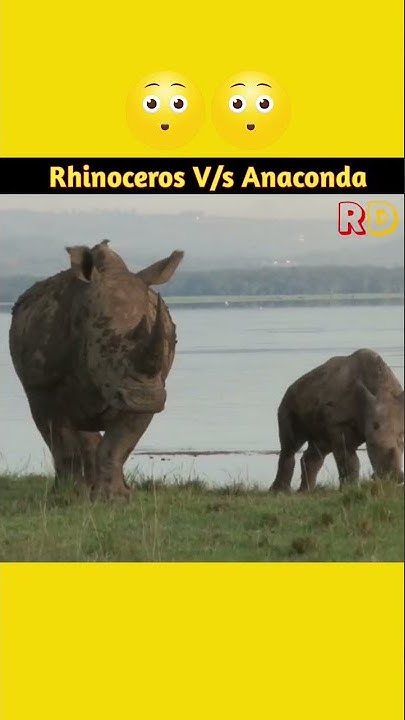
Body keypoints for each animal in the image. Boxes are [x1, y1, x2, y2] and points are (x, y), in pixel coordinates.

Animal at [9, 240, 184, 499]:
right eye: (105, 354)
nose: (146, 399)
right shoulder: (41, 387)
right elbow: (62, 445)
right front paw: (69, 496)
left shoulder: (150, 385)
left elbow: (118, 444)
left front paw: (116, 498)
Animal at [271, 349, 404, 492]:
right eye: (372, 445)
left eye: (402, 443)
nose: (393, 478)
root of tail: (293, 385)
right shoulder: (338, 424)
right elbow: (349, 460)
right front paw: (349, 489)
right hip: (288, 400)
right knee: (291, 445)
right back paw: (280, 491)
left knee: (320, 448)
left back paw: (306, 492)